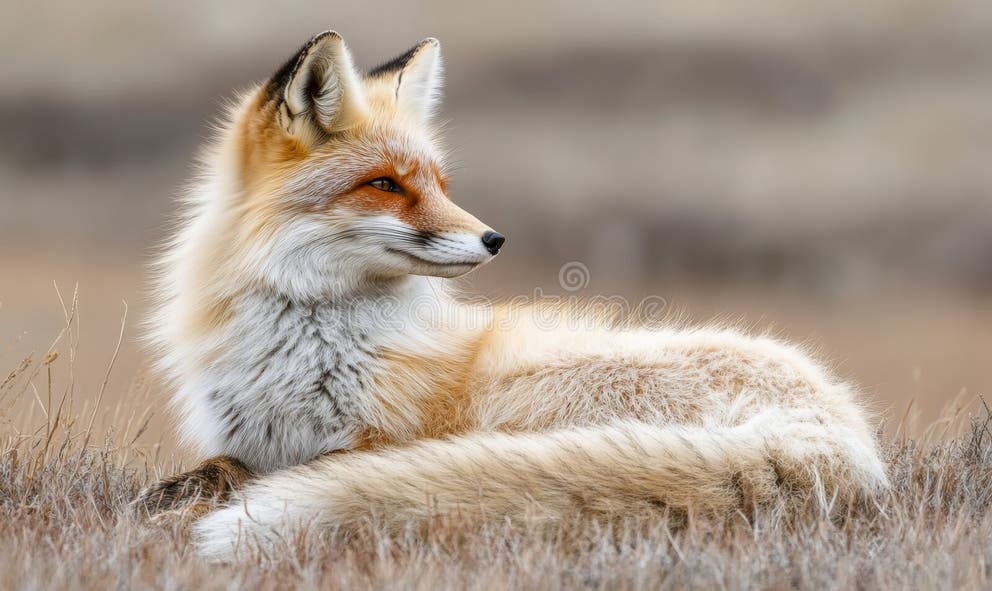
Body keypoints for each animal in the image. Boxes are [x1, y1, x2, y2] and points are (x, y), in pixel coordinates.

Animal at [134, 31, 889, 560]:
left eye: (440, 183)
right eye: (385, 184)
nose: (494, 238)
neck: (307, 341)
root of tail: (845, 432)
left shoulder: (367, 440)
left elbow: (285, 477)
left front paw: (193, 516)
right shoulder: (250, 441)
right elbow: (213, 468)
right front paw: (167, 502)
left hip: (526, 394)